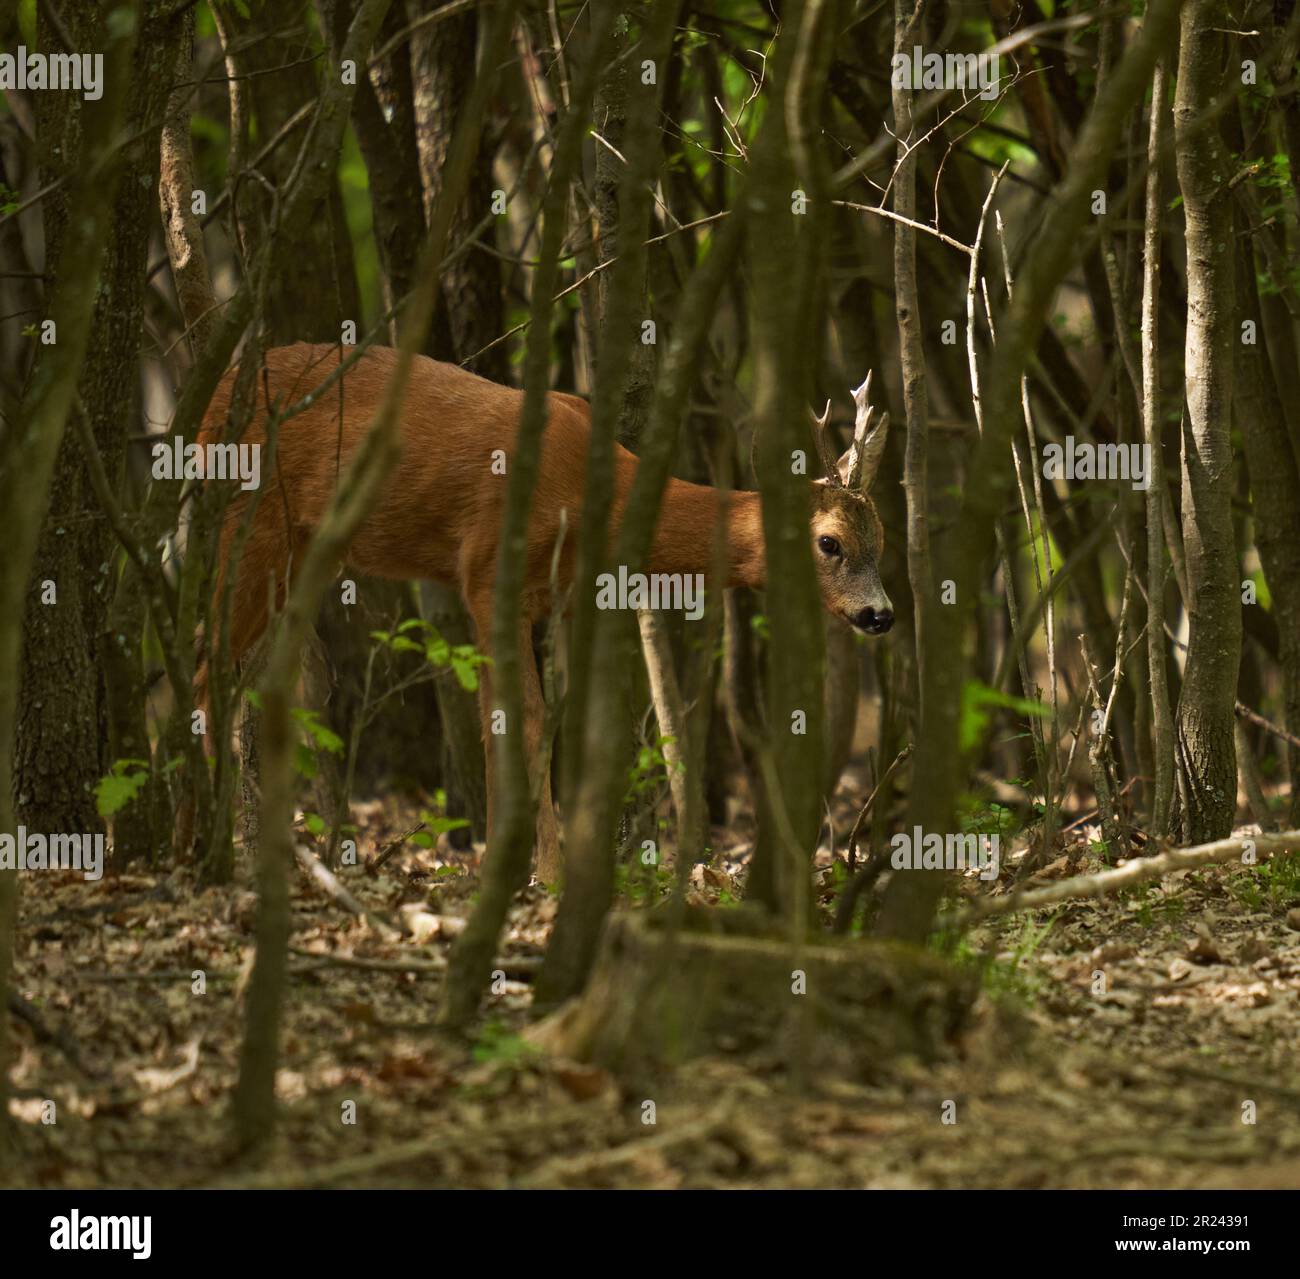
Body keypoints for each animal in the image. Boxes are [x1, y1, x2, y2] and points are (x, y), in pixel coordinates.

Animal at [192, 342, 893, 882]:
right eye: (829, 542)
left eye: (881, 539)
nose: (880, 615)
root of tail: (211, 401)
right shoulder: (485, 570)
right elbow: (521, 721)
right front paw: (543, 874)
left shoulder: (559, 597)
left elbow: (541, 722)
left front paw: (506, 865)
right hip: (248, 519)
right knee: (209, 663)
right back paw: (217, 833)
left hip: (308, 547)